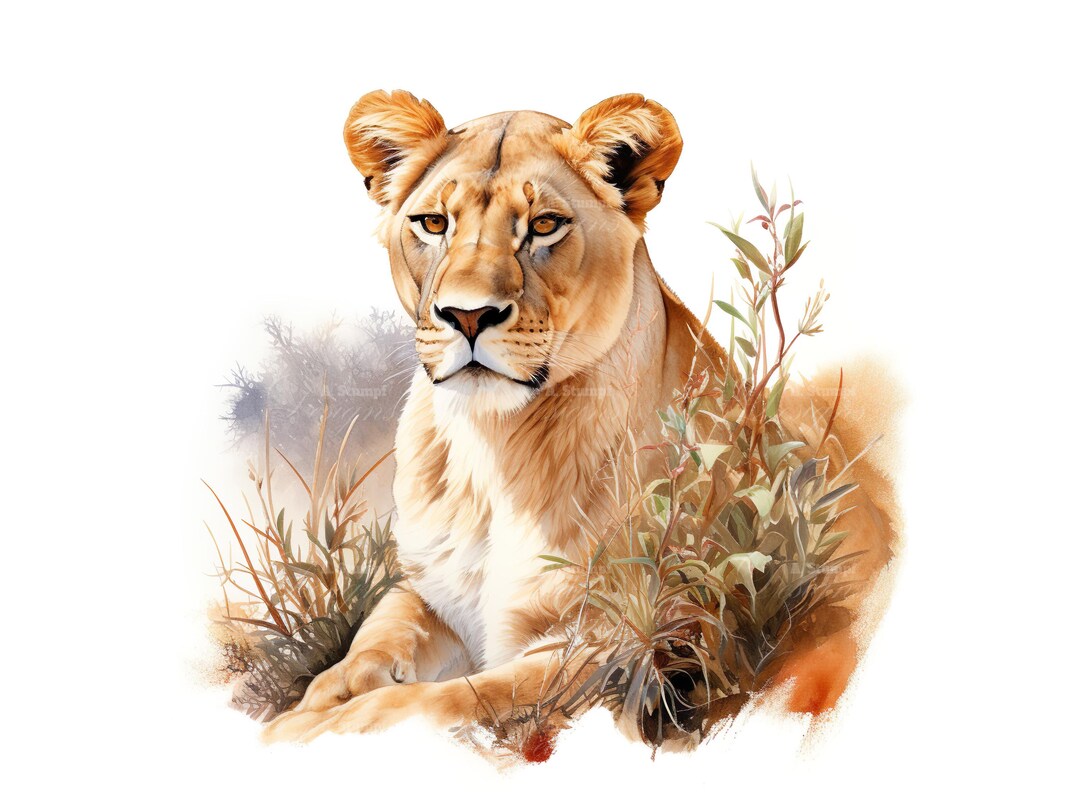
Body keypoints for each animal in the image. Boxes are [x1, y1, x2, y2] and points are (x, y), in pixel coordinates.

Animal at [263, 91, 899, 744]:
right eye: (434, 223)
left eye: (545, 225)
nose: (467, 316)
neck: (491, 451)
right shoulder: (430, 591)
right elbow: (377, 637)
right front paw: (324, 694)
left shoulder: (619, 642)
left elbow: (449, 700)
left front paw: (316, 728)